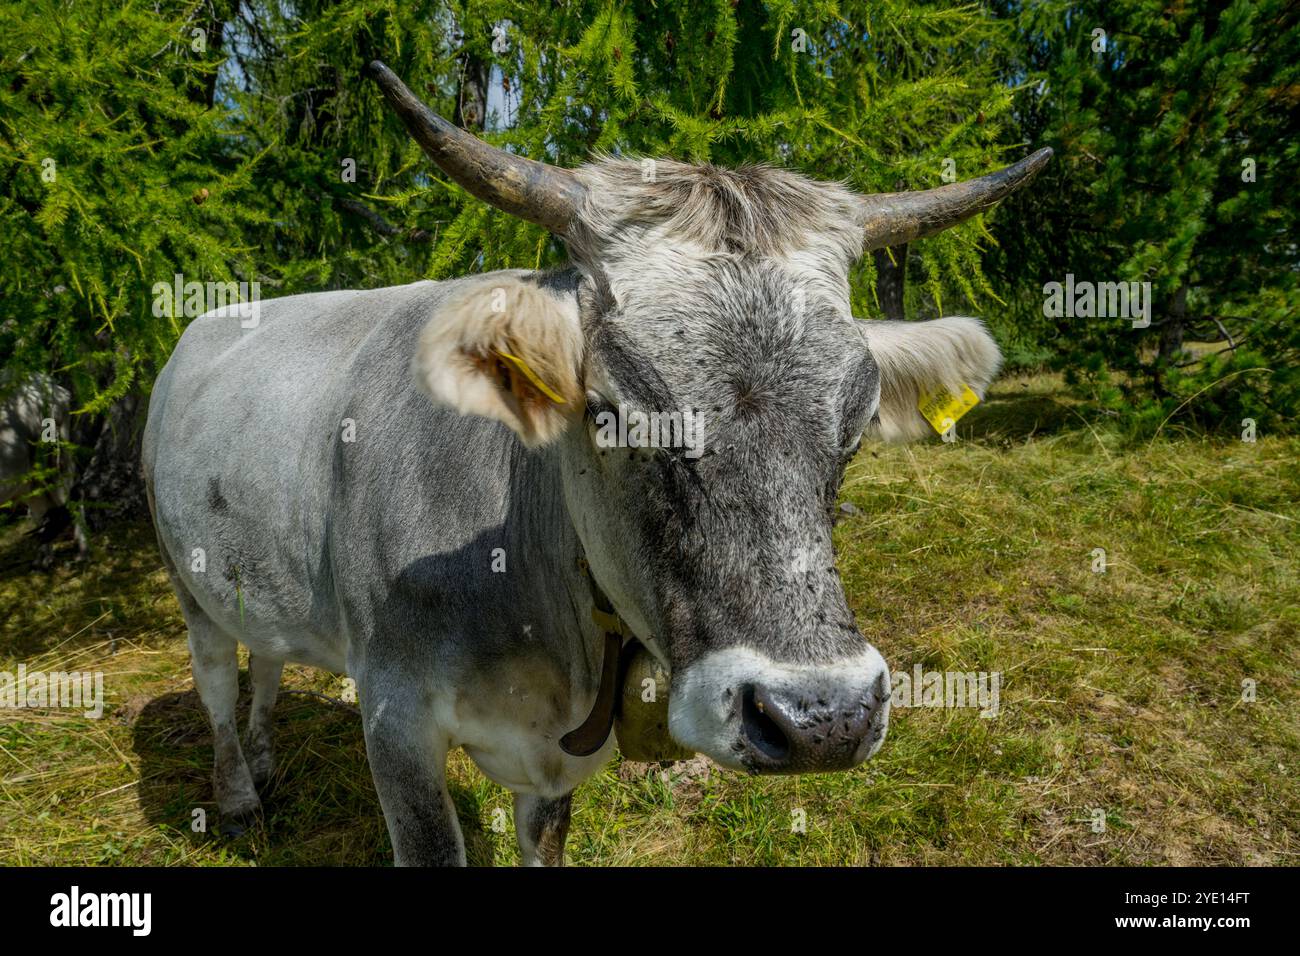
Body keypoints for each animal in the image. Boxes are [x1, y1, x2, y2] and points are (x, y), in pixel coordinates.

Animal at [141, 61, 1049, 866]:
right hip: (187, 580)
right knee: (217, 683)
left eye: (855, 427)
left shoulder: (559, 762)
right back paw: (237, 798)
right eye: (609, 411)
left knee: (266, 660)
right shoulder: (394, 718)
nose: (821, 719)